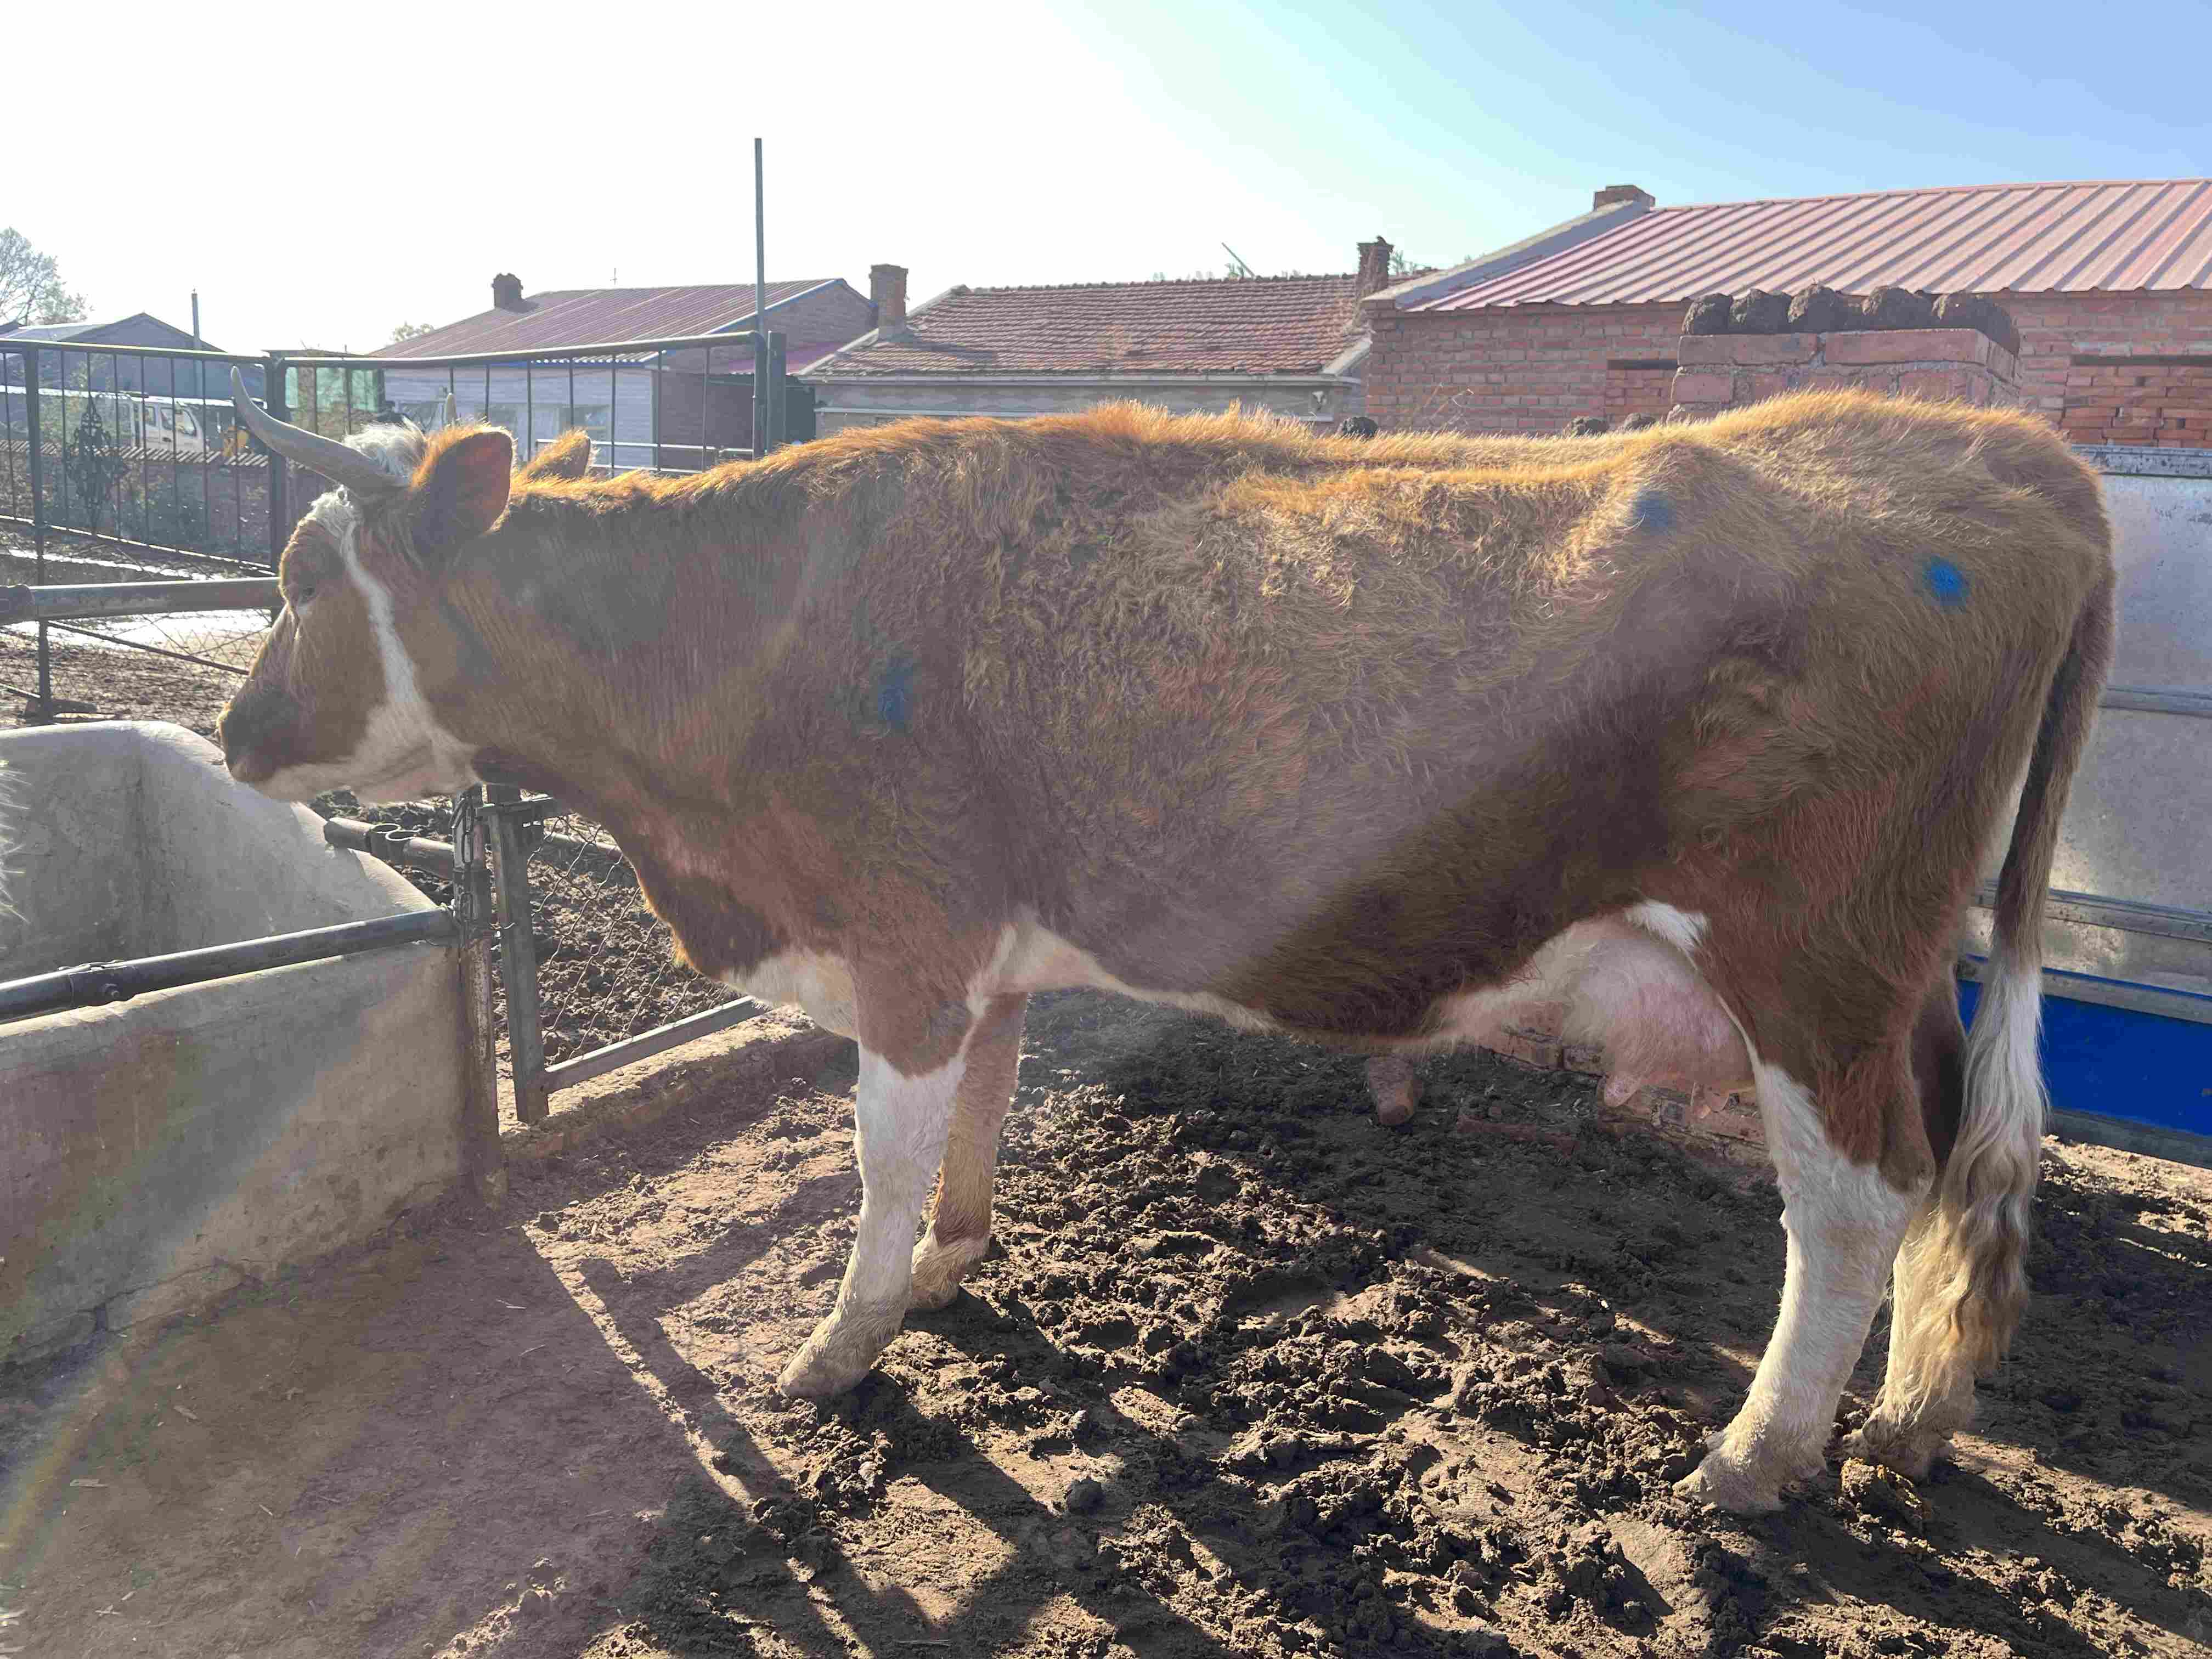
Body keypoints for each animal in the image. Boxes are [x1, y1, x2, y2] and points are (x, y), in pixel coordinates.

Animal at [219, 372, 2113, 1514]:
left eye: (303, 581)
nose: (234, 735)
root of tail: (1984, 441)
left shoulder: (903, 939)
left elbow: (875, 1158)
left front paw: (837, 1353)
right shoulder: (976, 952)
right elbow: (973, 1126)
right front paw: (949, 1270)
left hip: (1812, 967)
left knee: (1856, 1204)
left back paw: (1753, 1454)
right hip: (1901, 982)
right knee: (1944, 1168)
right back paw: (1907, 1416)